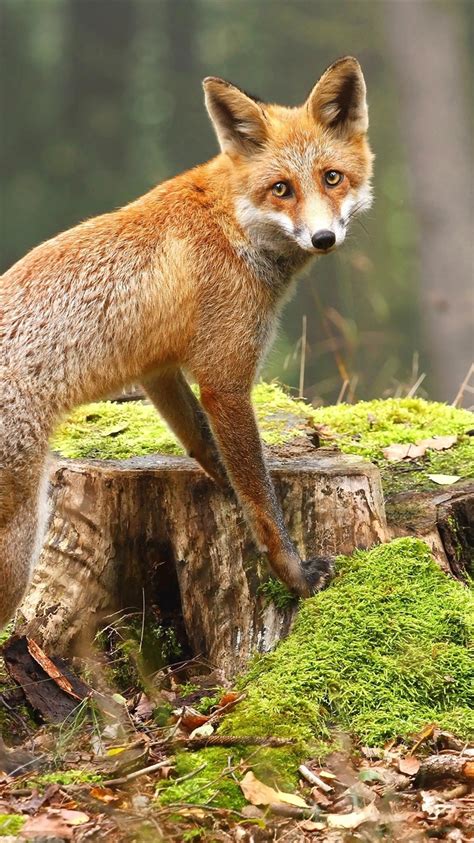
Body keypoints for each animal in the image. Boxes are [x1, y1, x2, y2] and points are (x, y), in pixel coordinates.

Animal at [0, 56, 373, 628]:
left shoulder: (158, 372)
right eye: (282, 189)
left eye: (332, 178)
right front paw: (294, 574)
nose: (323, 239)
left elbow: (209, 450)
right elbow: (263, 503)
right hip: (18, 544)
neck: (232, 222)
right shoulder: (226, 381)